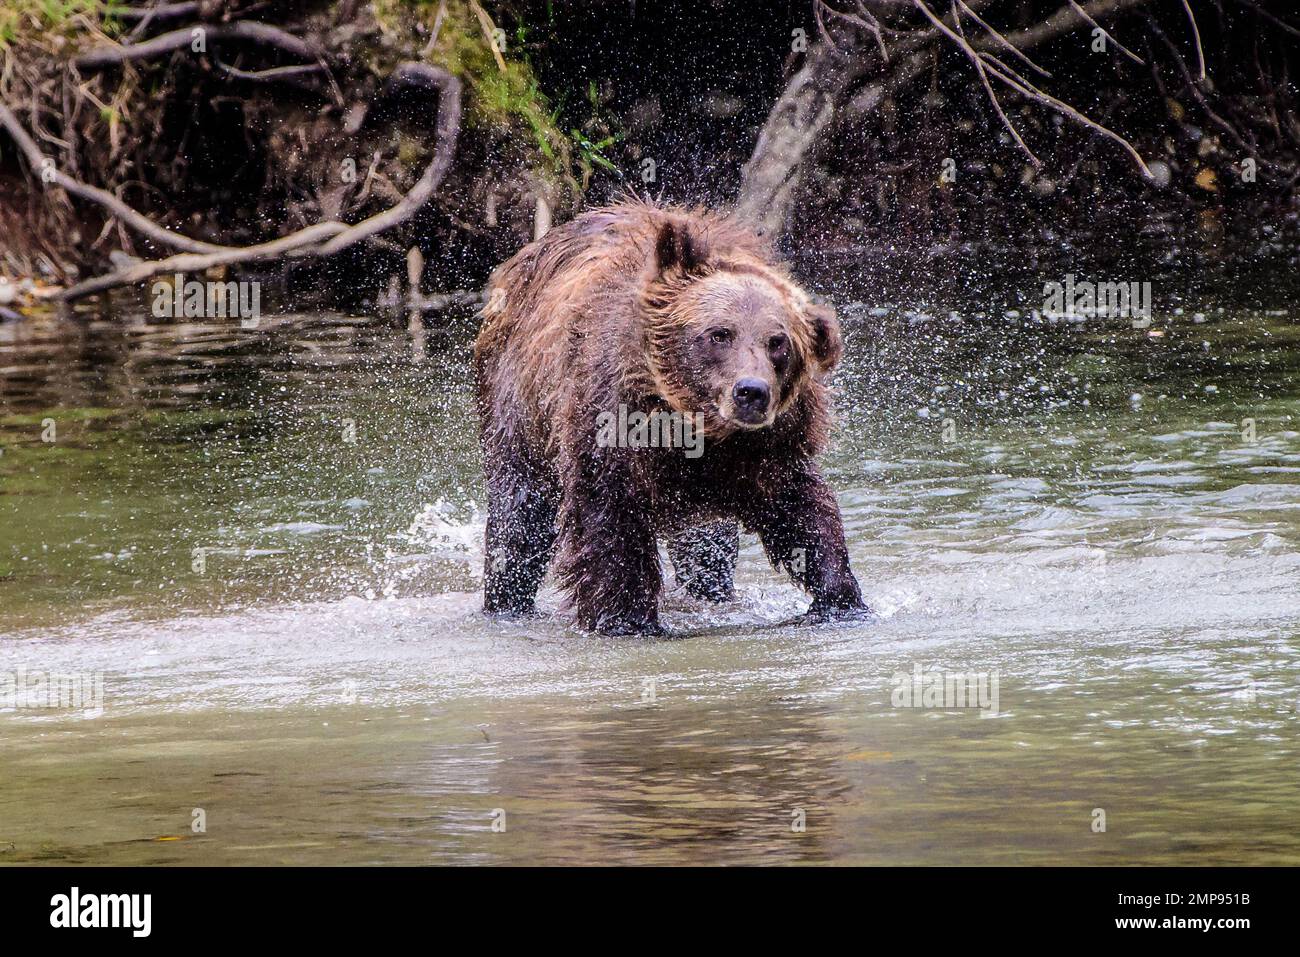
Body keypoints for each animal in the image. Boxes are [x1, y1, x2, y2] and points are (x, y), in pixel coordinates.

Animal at [474, 197, 867, 636]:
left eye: (778, 342)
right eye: (719, 334)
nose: (751, 392)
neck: (690, 427)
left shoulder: (767, 450)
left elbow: (801, 511)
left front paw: (838, 598)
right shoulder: (608, 422)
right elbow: (608, 521)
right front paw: (626, 618)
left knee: (708, 550)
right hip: (520, 409)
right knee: (518, 518)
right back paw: (506, 601)